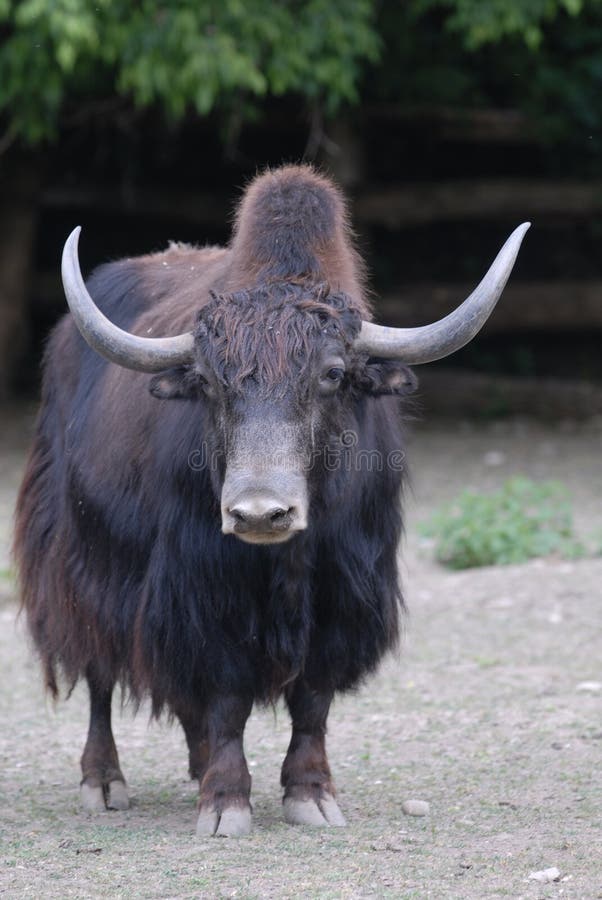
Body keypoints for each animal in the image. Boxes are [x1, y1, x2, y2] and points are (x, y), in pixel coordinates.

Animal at [14, 165, 529, 836]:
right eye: (208, 383)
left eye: (333, 374)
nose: (260, 514)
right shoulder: (206, 589)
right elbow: (228, 692)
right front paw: (225, 804)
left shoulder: (344, 593)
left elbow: (312, 699)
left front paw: (311, 796)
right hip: (78, 559)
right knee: (97, 666)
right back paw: (103, 783)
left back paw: (194, 764)